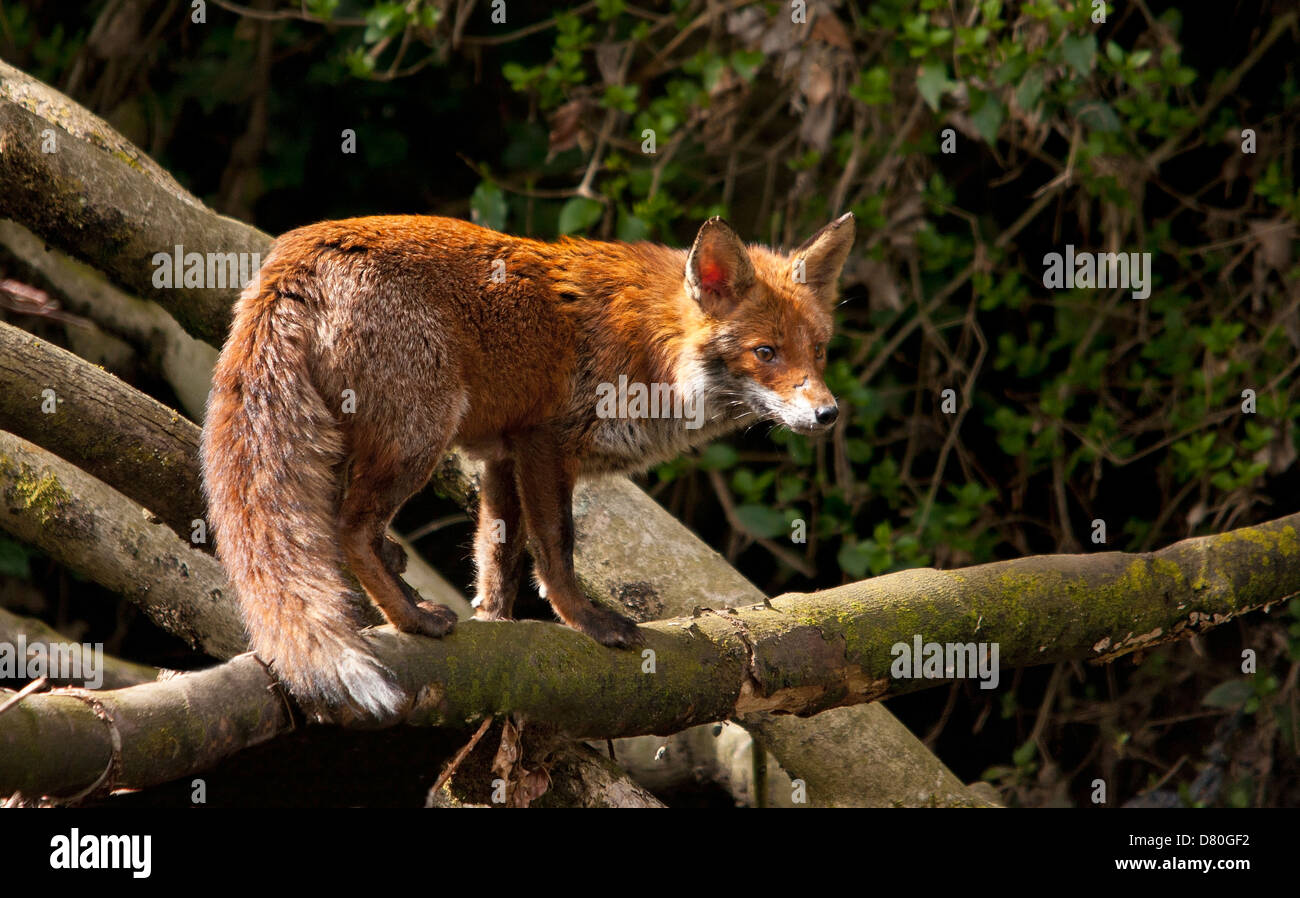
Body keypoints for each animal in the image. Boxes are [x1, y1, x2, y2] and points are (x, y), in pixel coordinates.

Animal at [200, 212, 855, 722]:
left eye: (819, 351)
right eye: (765, 353)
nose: (828, 414)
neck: (656, 348)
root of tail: (294, 254)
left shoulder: (503, 454)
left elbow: (498, 557)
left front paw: (496, 626)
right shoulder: (545, 445)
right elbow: (556, 551)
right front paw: (586, 623)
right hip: (418, 437)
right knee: (348, 530)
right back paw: (411, 620)